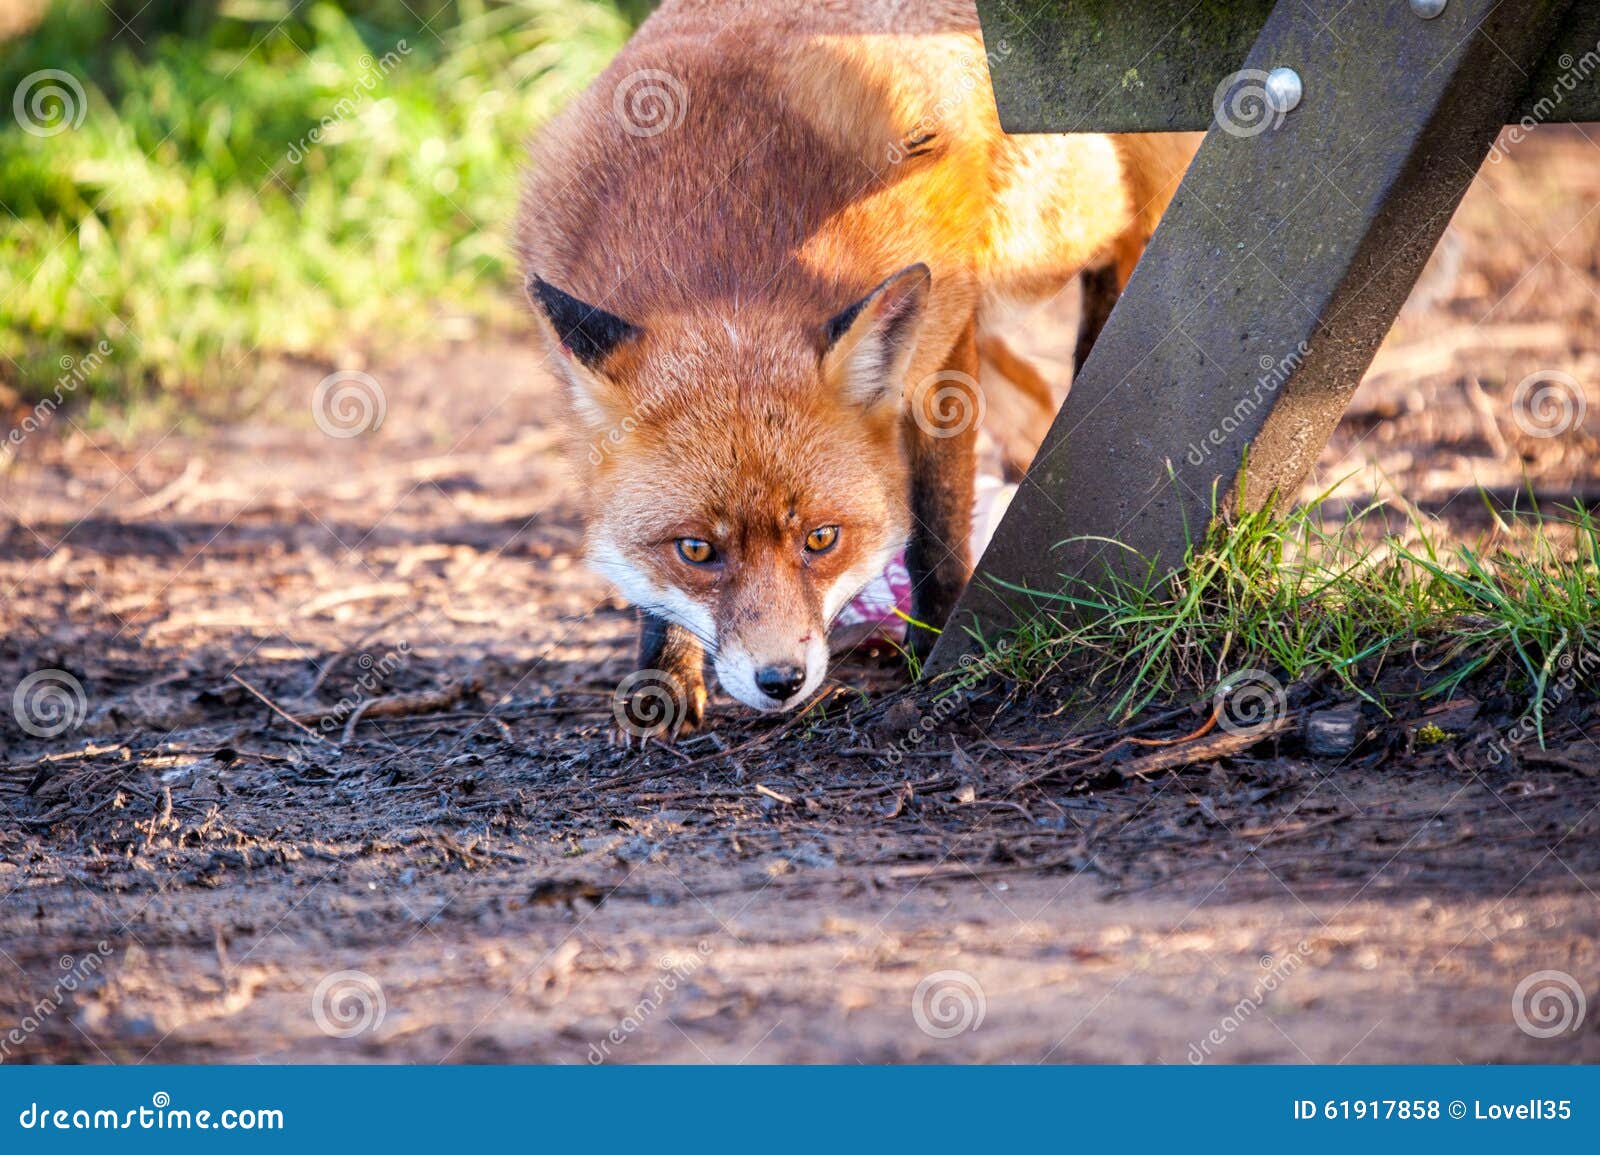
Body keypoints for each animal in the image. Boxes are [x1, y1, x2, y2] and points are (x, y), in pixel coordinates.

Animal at [517, 0, 1198, 739]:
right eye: (695, 550)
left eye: (821, 538)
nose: (780, 681)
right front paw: (664, 672)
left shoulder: (941, 358)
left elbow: (936, 523)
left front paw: (938, 643)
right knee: (1036, 397)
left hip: (1072, 236)